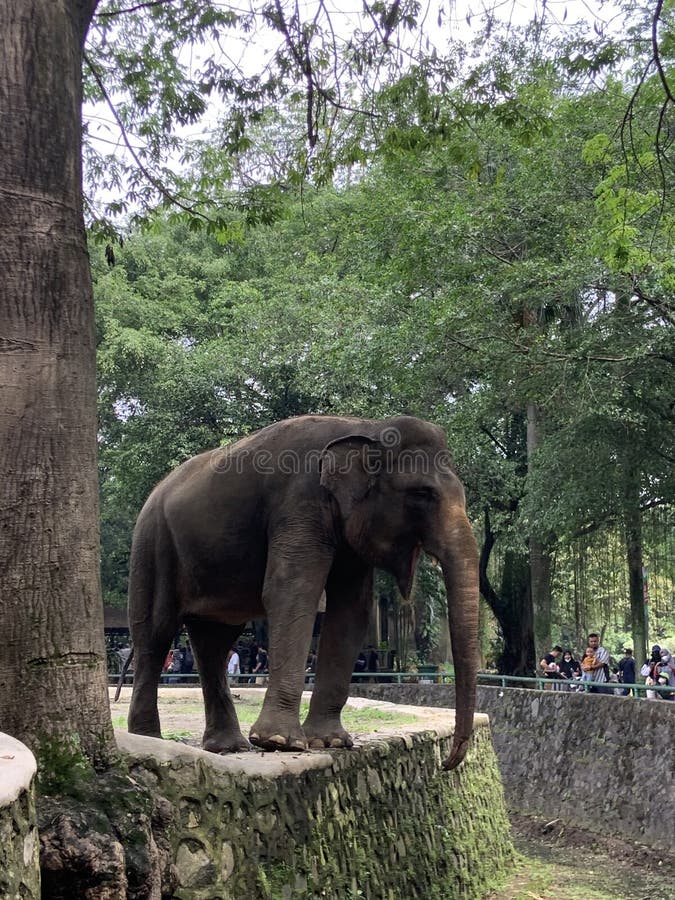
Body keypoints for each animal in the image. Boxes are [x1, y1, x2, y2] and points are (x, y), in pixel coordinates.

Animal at [126, 415, 479, 770]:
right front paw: (278, 742)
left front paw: (330, 741)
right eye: (422, 493)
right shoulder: (299, 502)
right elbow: (292, 591)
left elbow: (352, 609)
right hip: (152, 545)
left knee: (215, 641)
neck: (366, 428)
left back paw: (228, 747)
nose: (446, 762)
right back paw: (149, 739)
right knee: (155, 633)